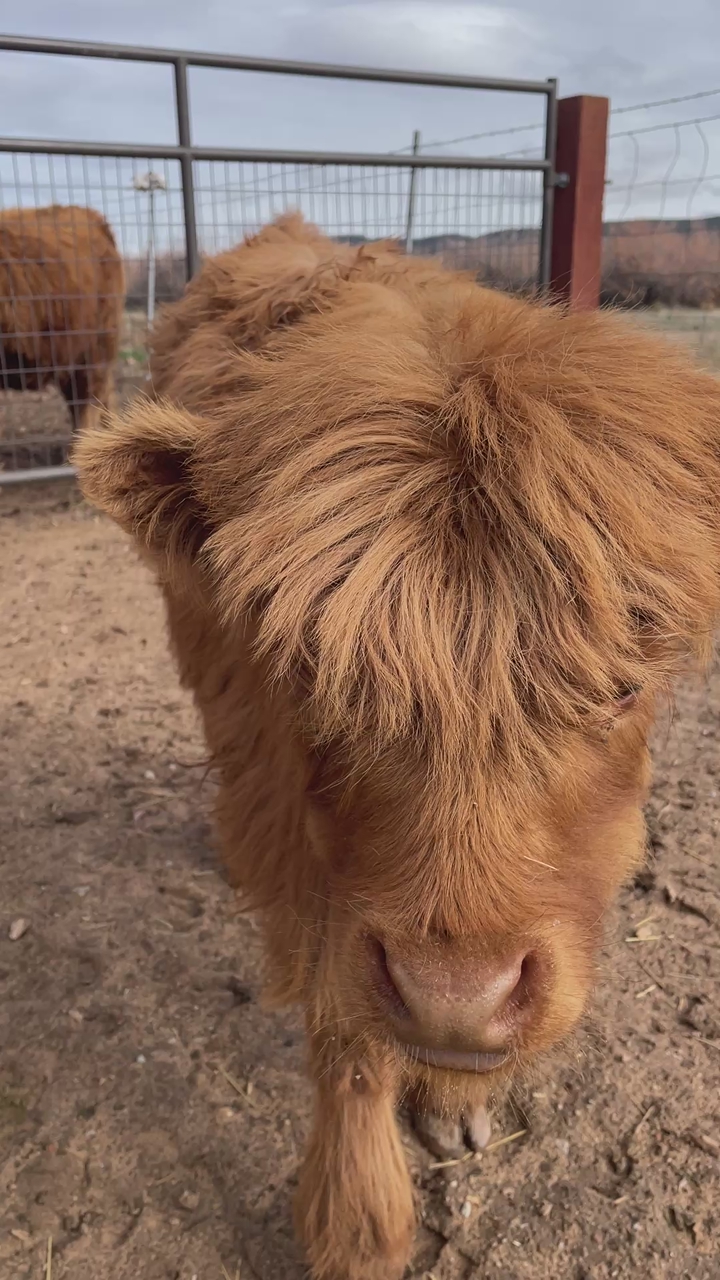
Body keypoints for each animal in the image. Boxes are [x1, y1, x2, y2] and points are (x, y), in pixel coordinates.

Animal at [74, 213, 720, 1280]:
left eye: (627, 682)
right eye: (304, 669)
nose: (455, 996)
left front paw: (456, 1103)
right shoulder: (302, 853)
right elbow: (348, 1037)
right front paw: (357, 1225)